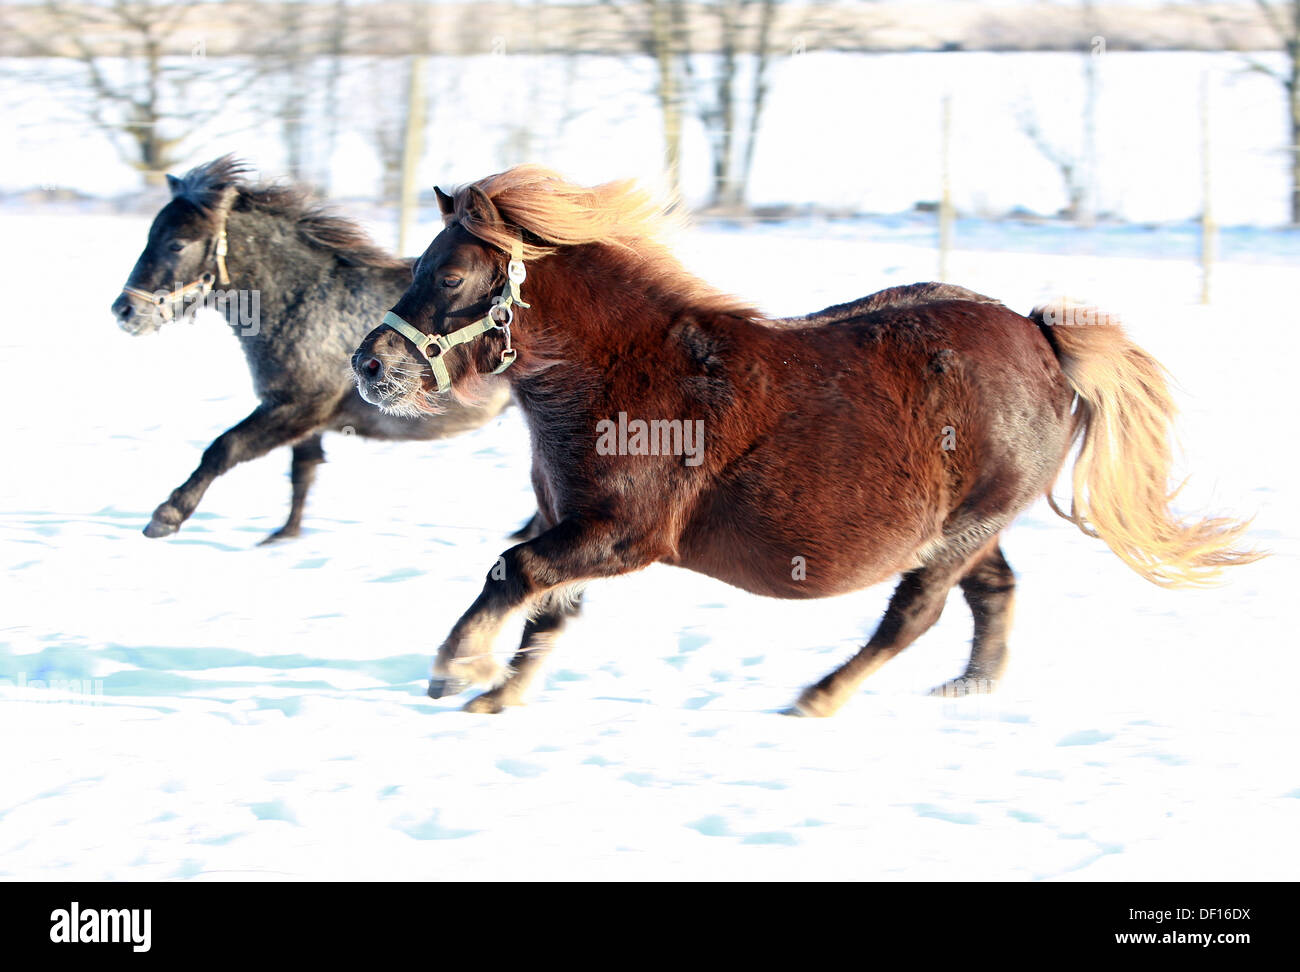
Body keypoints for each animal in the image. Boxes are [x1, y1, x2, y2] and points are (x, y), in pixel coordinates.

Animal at [111, 156, 519, 544]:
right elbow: (301, 473)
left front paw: (166, 516)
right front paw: (284, 536)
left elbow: (225, 447)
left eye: (176, 244)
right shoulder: (305, 419)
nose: (124, 310)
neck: (302, 303)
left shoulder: (298, 407)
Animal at [351, 166, 1261, 716]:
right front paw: (497, 694)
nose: (368, 364)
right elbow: (543, 601)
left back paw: (817, 699)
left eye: (452, 275)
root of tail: (1041, 336)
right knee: (992, 593)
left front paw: (457, 668)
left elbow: (519, 574)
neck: (624, 376)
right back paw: (966, 692)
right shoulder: (573, 522)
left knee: (915, 614)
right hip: (972, 527)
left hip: (963, 527)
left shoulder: (627, 535)